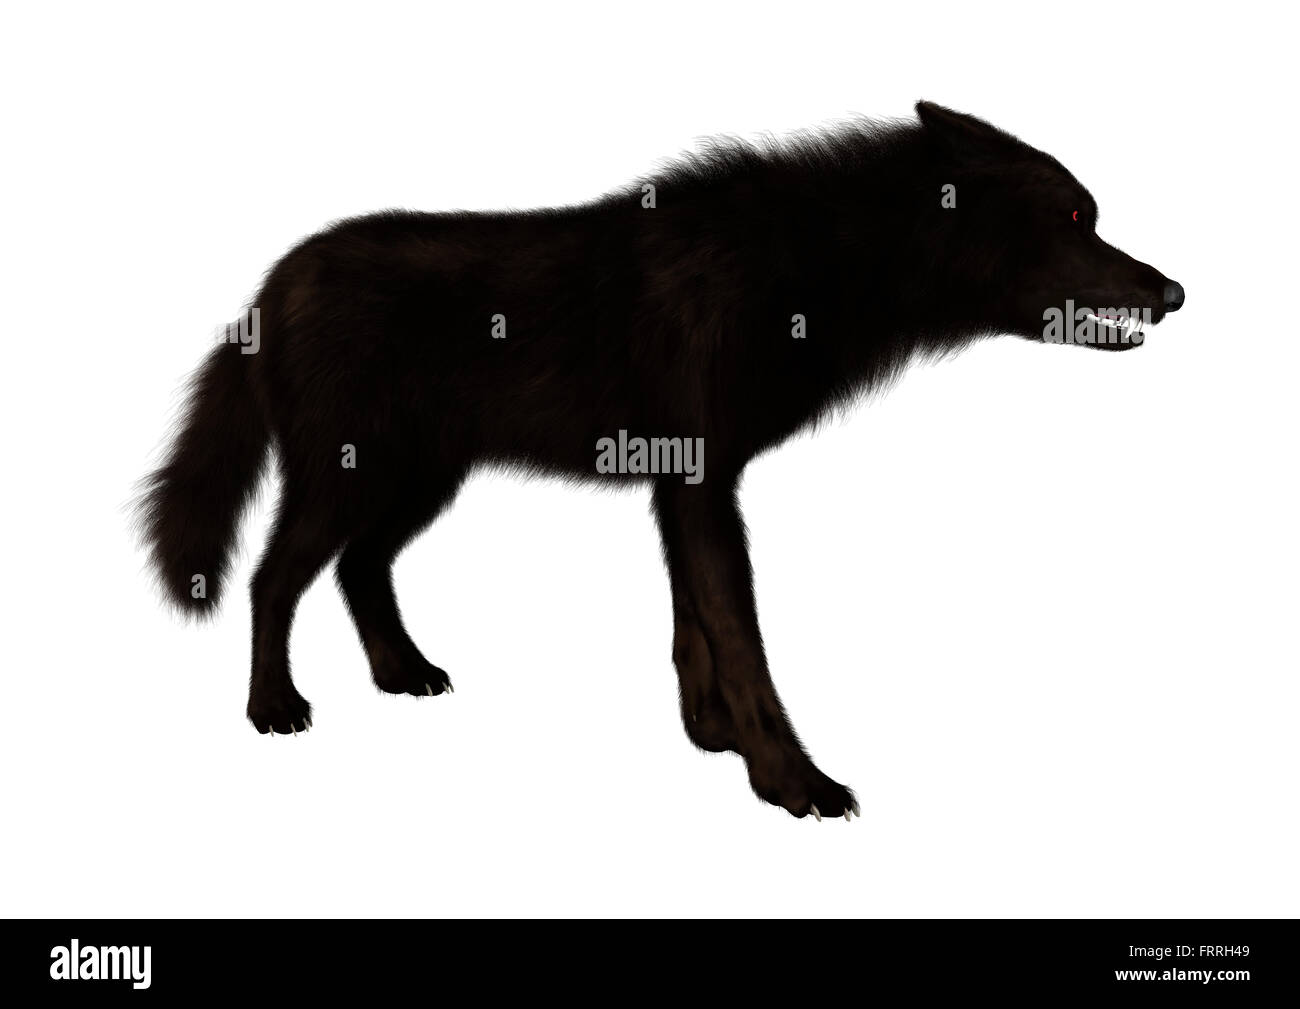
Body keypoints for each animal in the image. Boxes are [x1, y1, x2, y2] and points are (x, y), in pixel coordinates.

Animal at [139, 102, 1183, 820]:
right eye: (1078, 219)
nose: (1173, 290)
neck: (799, 271)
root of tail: (271, 282)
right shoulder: (704, 481)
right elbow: (741, 637)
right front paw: (792, 782)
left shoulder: (685, 481)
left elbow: (694, 627)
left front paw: (711, 737)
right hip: (352, 480)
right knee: (273, 577)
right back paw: (274, 707)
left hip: (418, 483)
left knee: (358, 569)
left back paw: (404, 673)